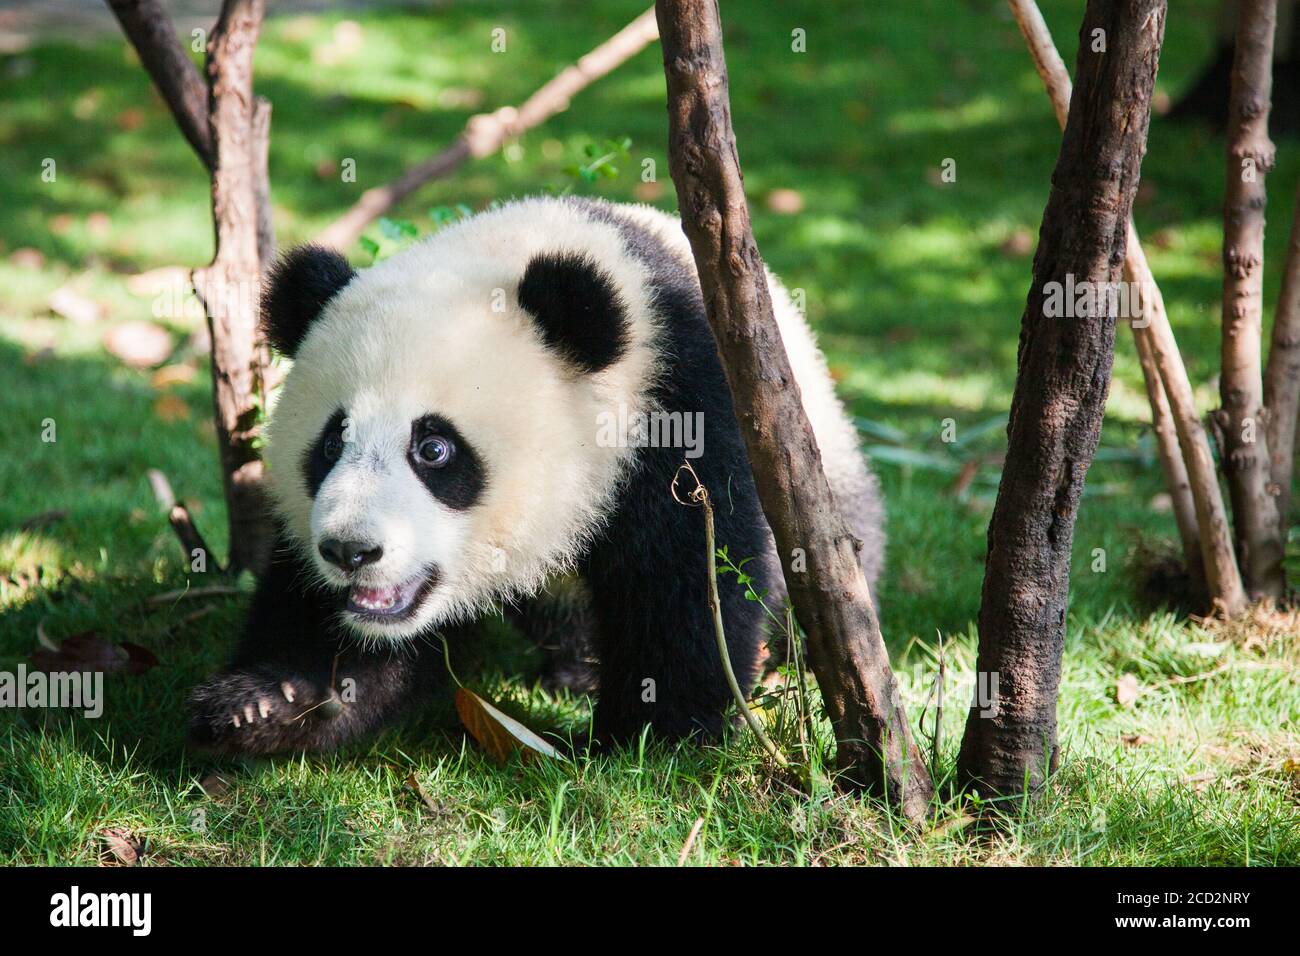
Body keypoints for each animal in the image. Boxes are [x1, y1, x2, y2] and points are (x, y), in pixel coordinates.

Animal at [188, 196, 884, 755]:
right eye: (332, 442)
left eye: (434, 450)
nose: (351, 551)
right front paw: (266, 702)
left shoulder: (681, 404)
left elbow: (691, 578)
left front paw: (651, 737)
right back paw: (575, 664)